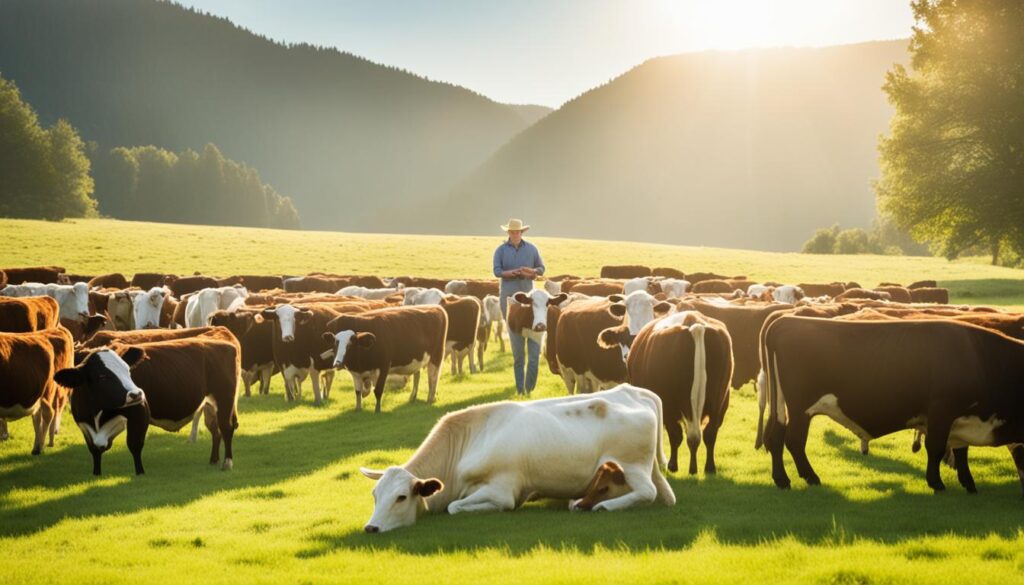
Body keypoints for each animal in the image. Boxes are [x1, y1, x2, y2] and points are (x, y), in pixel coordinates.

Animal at [359, 384, 675, 532]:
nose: (371, 528)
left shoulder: (502, 492)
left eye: (401, 497)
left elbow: (455, 507)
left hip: (633, 465)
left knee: (647, 493)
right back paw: (580, 502)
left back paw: (602, 507)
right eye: (374, 495)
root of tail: (632, 391)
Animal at [609, 311, 733, 475]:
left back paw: (674, 465)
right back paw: (708, 468)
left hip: (668, 403)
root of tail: (694, 323)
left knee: (677, 434)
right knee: (709, 433)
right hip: (720, 401)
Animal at [759, 315, 1024, 494]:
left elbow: (960, 450)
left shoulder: (961, 418)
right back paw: (810, 477)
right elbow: (936, 447)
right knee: (794, 441)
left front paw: (968, 483)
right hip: (801, 408)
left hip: (781, 407)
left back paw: (781, 479)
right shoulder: (942, 410)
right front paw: (936, 483)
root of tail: (785, 320)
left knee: (775, 437)